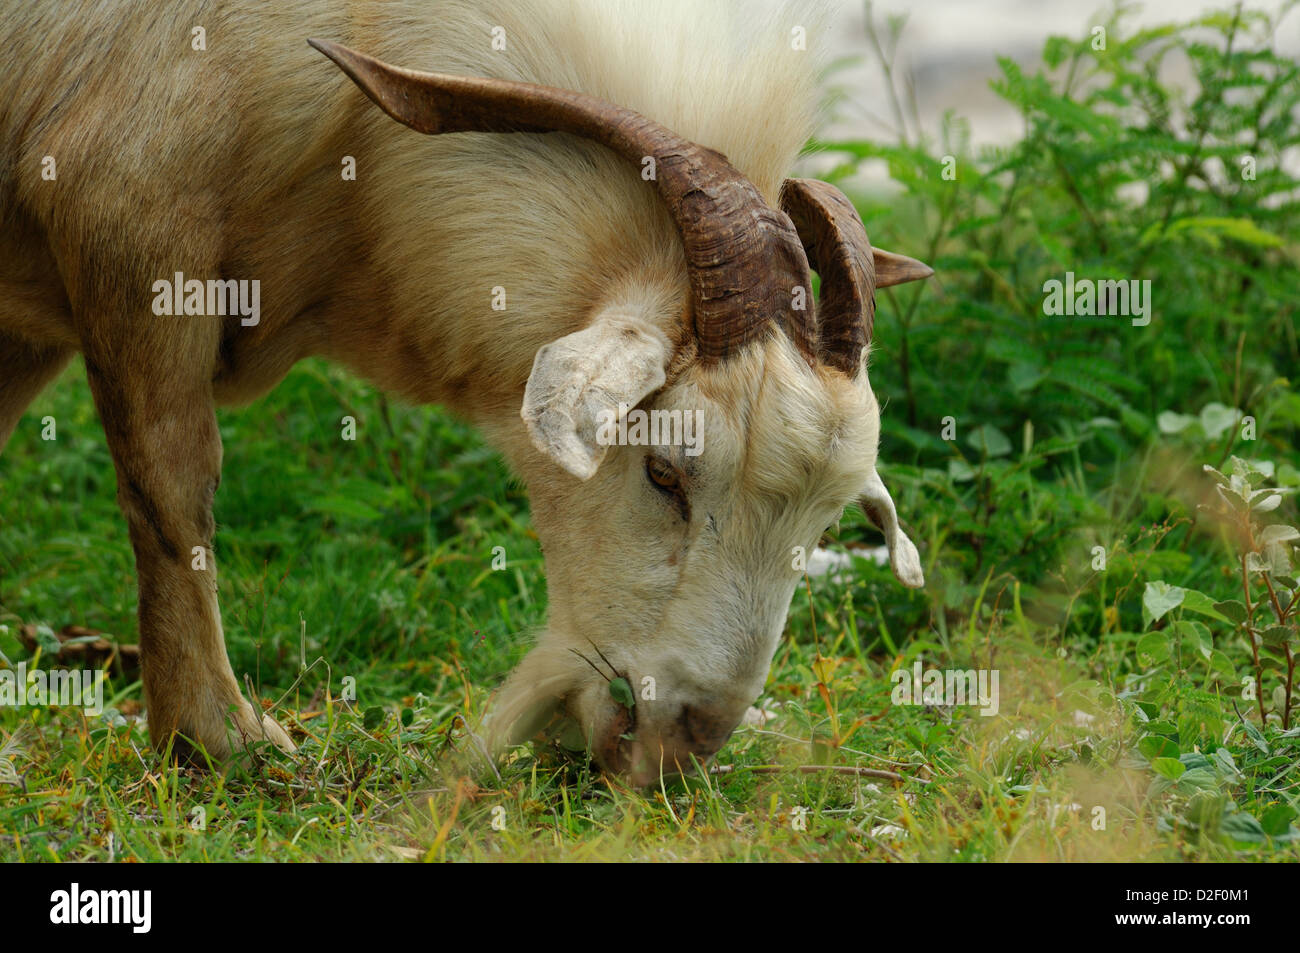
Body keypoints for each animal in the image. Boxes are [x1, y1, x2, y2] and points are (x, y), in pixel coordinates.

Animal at [0, 0, 931, 785]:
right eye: (664, 471)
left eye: (827, 524)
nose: (681, 741)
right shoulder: (131, 226)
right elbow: (173, 490)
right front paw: (216, 738)